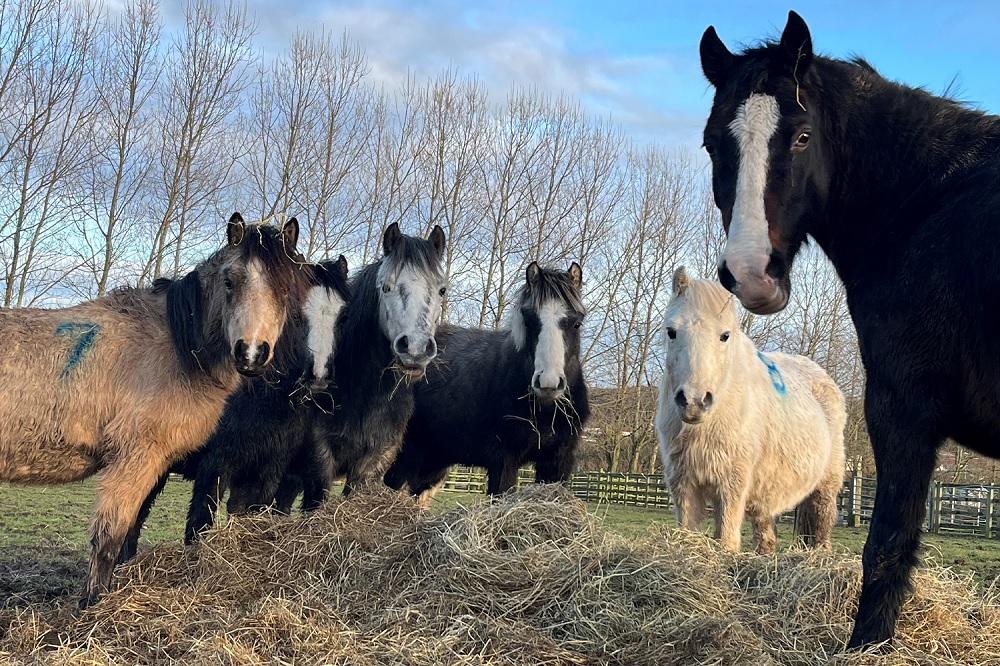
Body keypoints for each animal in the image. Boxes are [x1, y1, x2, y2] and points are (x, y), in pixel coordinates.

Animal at [0, 213, 310, 607]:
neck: (175, 346)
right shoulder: (137, 458)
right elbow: (111, 538)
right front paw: (92, 605)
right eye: (230, 281)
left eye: (285, 289)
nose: (251, 353)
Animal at [117, 255, 351, 555]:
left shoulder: (265, 474)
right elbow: (199, 526)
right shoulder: (214, 469)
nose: (318, 377)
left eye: (342, 317)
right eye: (296, 315)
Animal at [384, 262, 590, 498]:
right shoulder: (503, 461)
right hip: (409, 452)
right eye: (528, 321)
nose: (548, 383)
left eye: (577, 323)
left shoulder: (557, 462)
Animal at [655, 267, 845, 554]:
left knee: (822, 522)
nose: (694, 401)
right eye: (671, 331)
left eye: (725, 335)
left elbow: (727, 538)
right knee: (767, 537)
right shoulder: (685, 485)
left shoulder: (732, 485)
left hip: (826, 485)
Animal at [699, 11, 1000, 646]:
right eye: (714, 144)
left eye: (802, 136)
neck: (930, 206)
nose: (750, 272)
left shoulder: (901, 409)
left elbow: (886, 547)